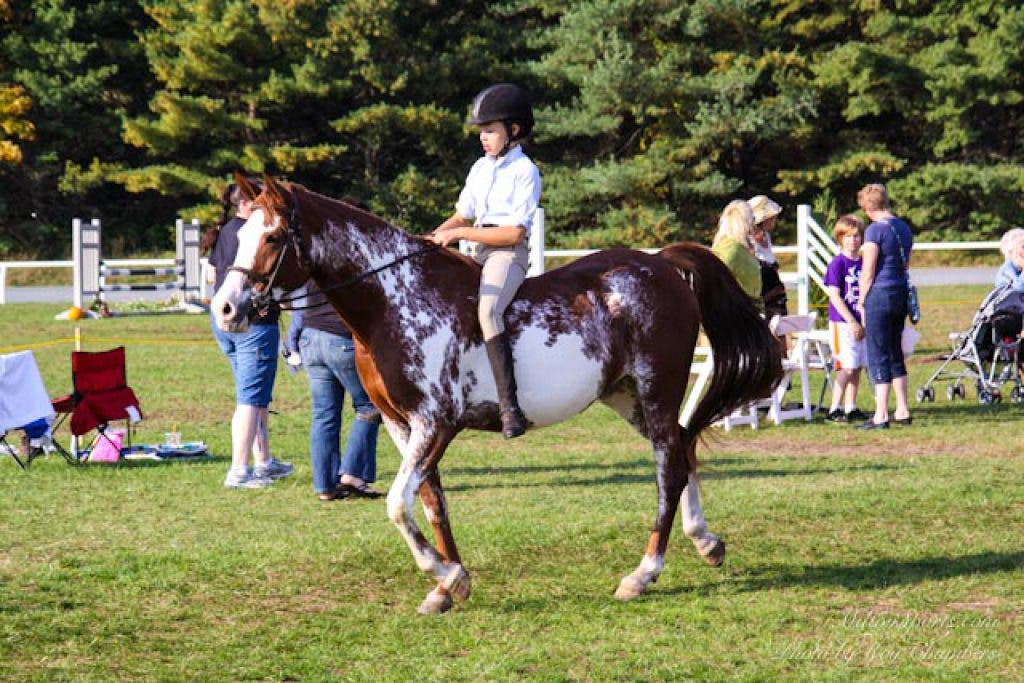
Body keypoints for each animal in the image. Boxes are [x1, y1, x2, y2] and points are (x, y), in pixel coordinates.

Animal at [211, 175, 783, 614]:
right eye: (241, 236)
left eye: (273, 236)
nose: (226, 310)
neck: (392, 300)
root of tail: (661, 262)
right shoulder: (402, 425)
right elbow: (430, 504)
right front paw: (448, 585)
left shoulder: (436, 422)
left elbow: (398, 504)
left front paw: (446, 576)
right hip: (626, 397)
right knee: (683, 447)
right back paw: (706, 543)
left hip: (656, 390)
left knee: (669, 469)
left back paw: (643, 573)